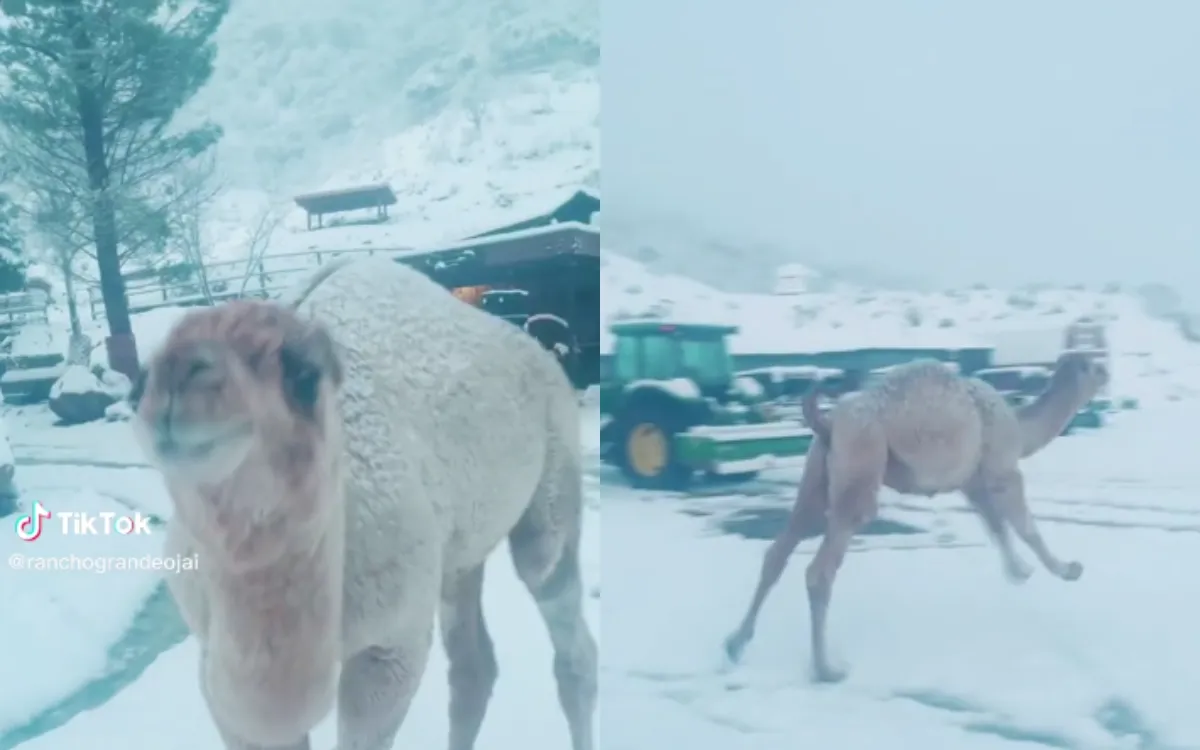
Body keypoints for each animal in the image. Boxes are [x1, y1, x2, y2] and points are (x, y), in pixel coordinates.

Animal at [131, 257, 596, 750]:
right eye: (137, 385)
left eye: (302, 374)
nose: (180, 378)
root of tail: (539, 350)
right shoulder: (217, 676)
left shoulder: (390, 645)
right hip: (458, 549)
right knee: (472, 663)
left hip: (554, 473)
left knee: (561, 614)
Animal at [722, 352, 1108, 682]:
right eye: (1092, 364)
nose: (1107, 371)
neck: (1019, 425)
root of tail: (829, 422)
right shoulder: (1002, 466)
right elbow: (1024, 525)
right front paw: (1070, 569)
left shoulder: (972, 480)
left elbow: (995, 524)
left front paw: (1019, 572)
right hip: (862, 463)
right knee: (821, 569)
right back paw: (826, 669)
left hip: (817, 474)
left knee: (780, 548)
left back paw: (734, 644)